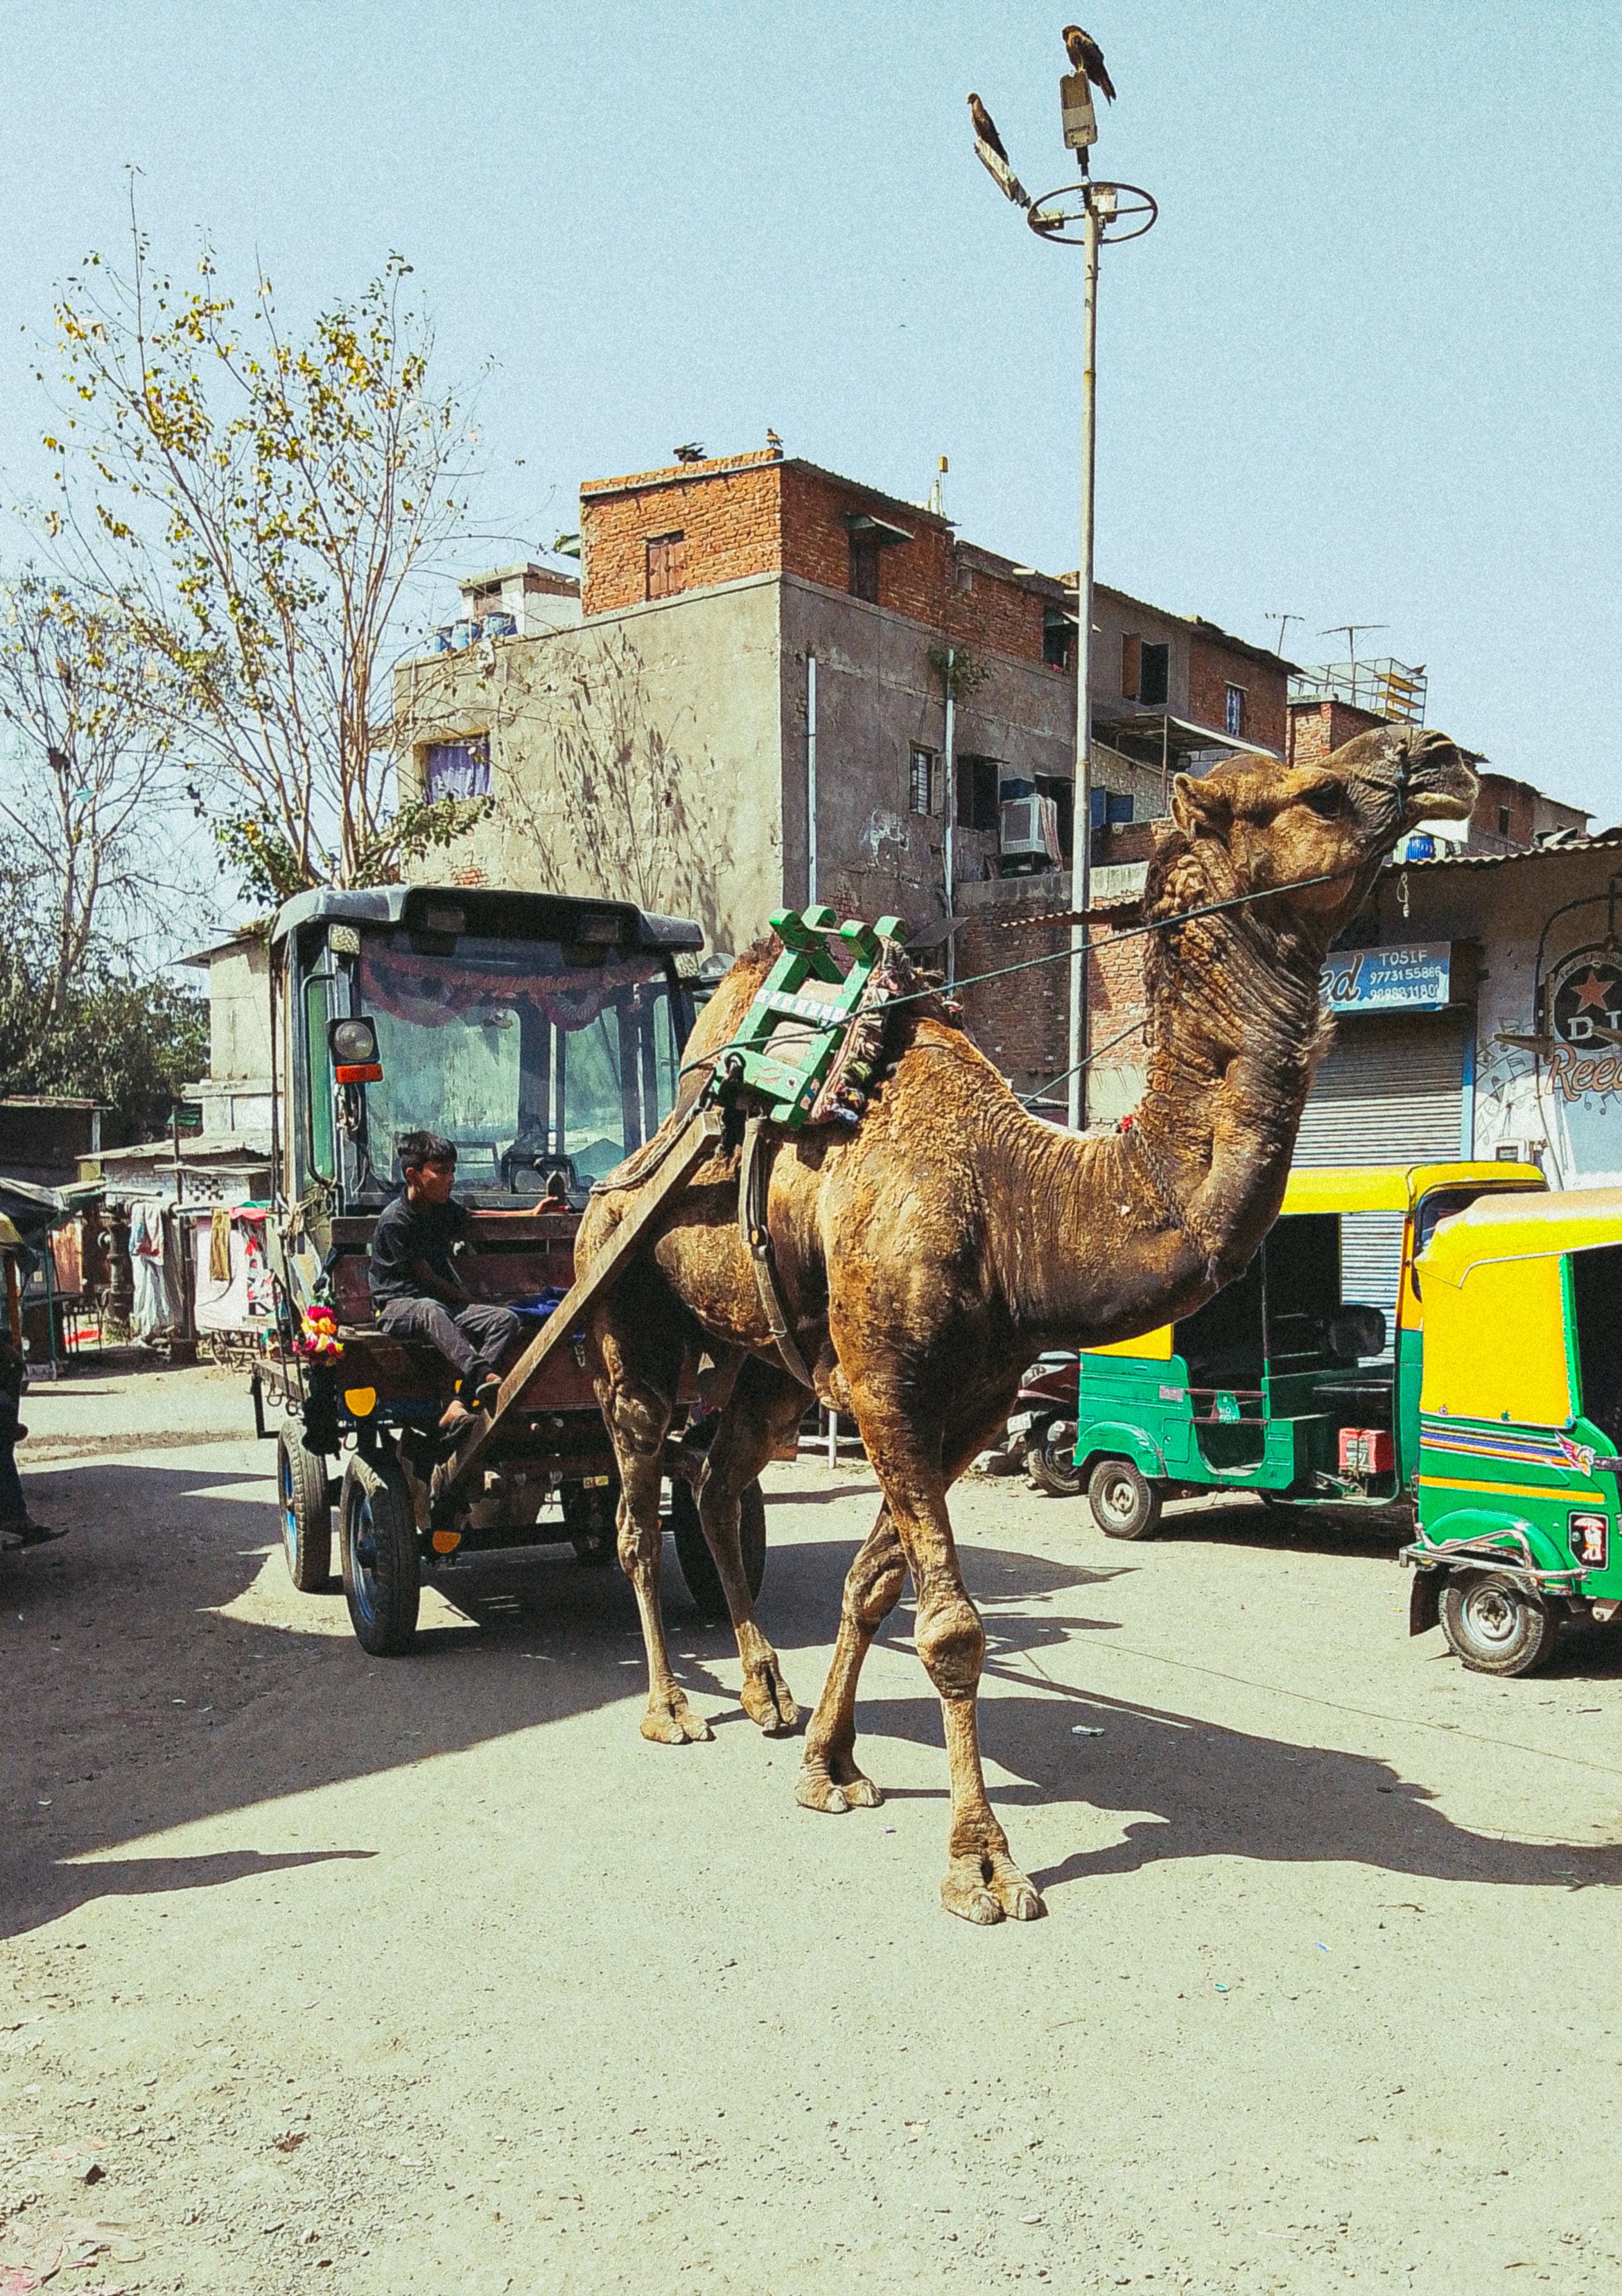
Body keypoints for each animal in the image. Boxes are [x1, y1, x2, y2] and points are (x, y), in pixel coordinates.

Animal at [575, 726, 1478, 1922]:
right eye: (1320, 790)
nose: (1439, 755)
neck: (1020, 1200)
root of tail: (606, 1180)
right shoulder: (891, 1388)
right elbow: (953, 1627)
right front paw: (983, 1862)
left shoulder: (966, 1404)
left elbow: (874, 1584)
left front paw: (831, 1765)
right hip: (628, 1314)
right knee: (638, 1496)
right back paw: (674, 1707)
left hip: (770, 1362)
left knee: (721, 1481)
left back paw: (766, 1692)